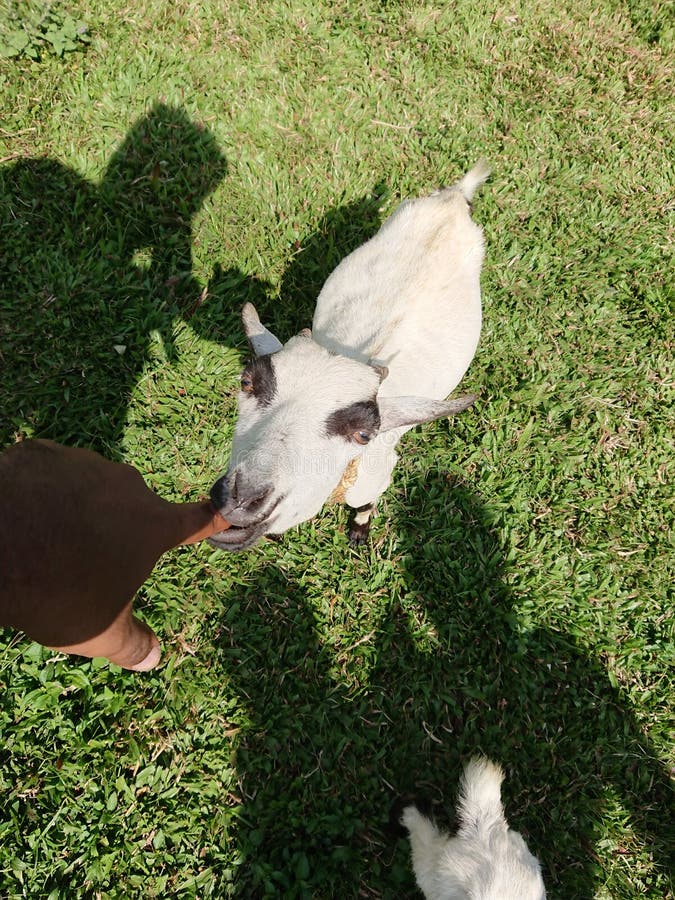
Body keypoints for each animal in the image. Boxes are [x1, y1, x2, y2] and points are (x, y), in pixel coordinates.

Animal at [209, 160, 490, 550]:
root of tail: (452, 201)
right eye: (246, 382)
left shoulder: (377, 475)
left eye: (363, 435)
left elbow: (365, 505)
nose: (241, 500)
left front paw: (359, 531)